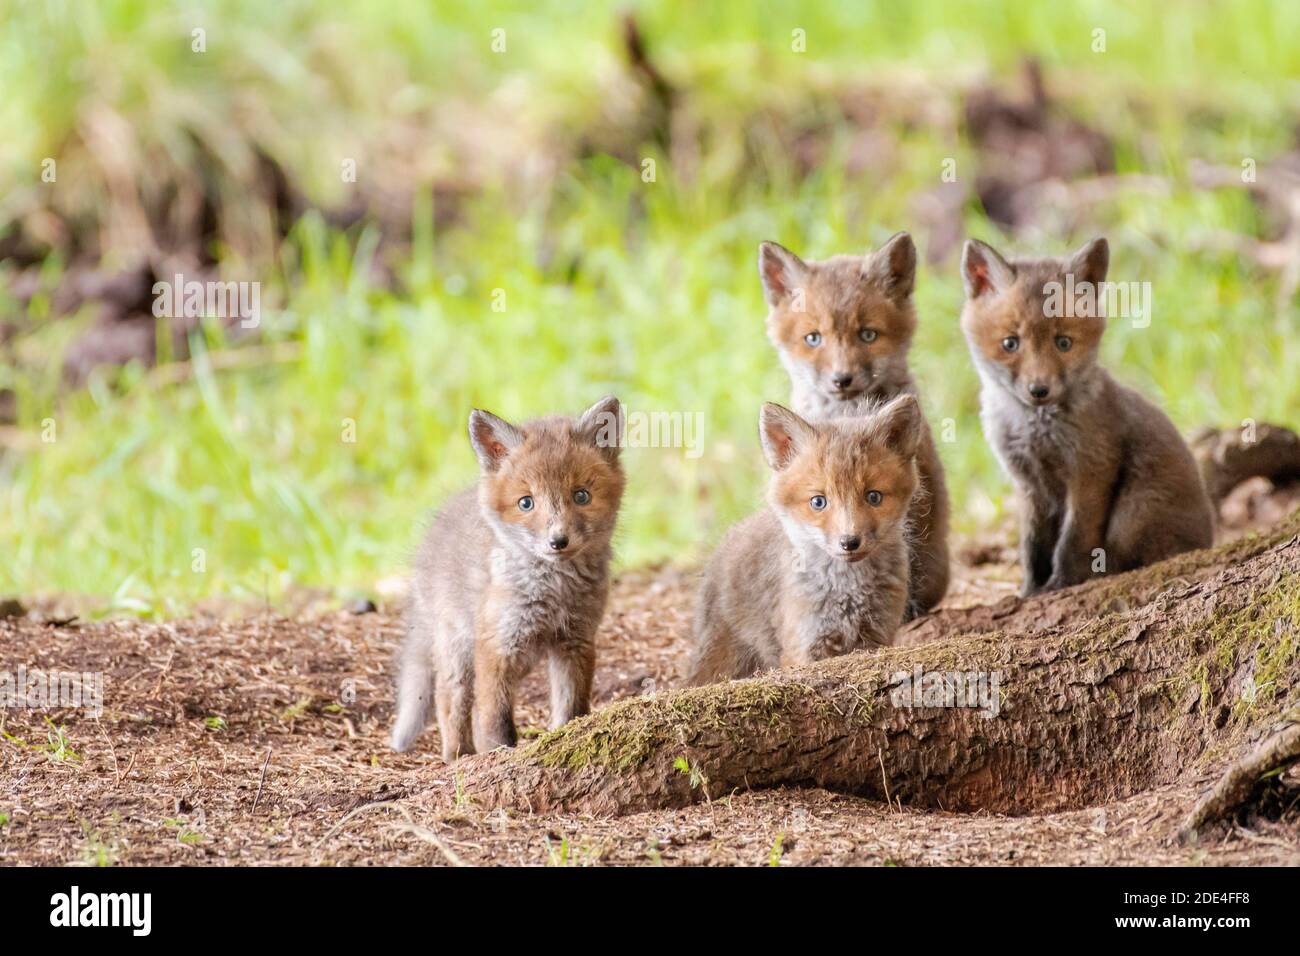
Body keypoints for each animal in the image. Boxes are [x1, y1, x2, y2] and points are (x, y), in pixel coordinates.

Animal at [390, 396, 625, 760]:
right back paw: (457, 754)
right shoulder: (497, 644)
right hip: (458, 649)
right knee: (450, 699)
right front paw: (497, 754)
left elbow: (571, 708)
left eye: (581, 496)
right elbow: (494, 718)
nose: (558, 541)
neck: (554, 591)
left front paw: (565, 739)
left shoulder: (576, 640)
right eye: (526, 503)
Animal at [687, 394, 921, 685]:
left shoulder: (876, 636)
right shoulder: (804, 644)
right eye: (818, 502)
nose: (849, 542)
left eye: (874, 497)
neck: (848, 592)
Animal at [959, 236, 1214, 596]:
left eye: (1064, 343)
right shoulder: (1028, 484)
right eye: (1010, 343)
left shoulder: (1091, 470)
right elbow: (1032, 546)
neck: (1035, 430)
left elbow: (1073, 540)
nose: (1039, 390)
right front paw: (1029, 591)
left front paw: (1063, 584)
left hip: (1133, 512)